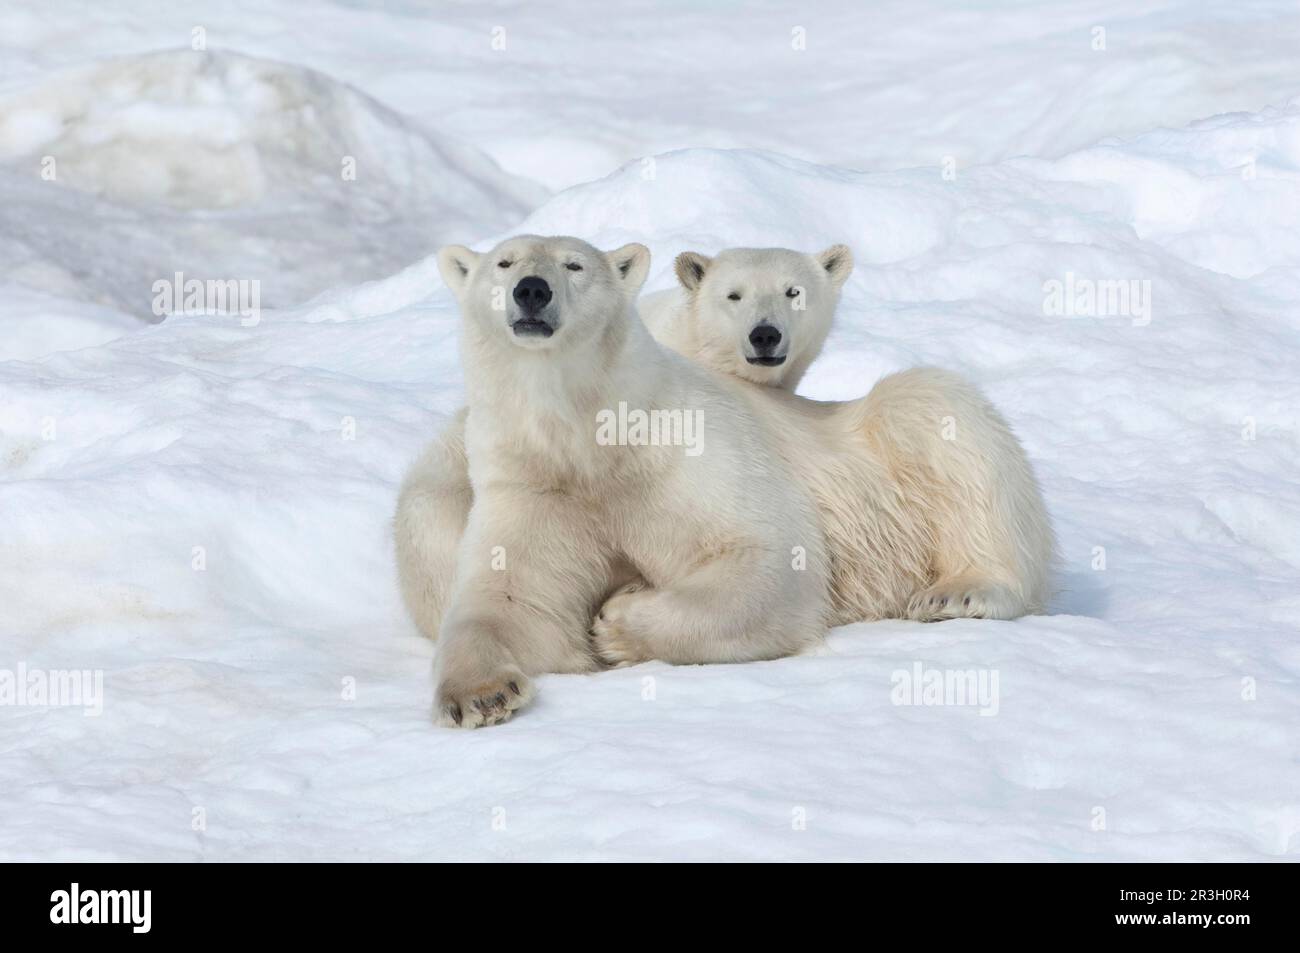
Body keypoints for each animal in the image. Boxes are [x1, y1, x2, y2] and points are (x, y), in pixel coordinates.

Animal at [416, 235, 830, 727]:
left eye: (574, 265)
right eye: (504, 262)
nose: (532, 289)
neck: (588, 446)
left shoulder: (678, 456)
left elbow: (766, 554)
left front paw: (616, 622)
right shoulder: (532, 487)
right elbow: (511, 597)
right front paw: (479, 696)